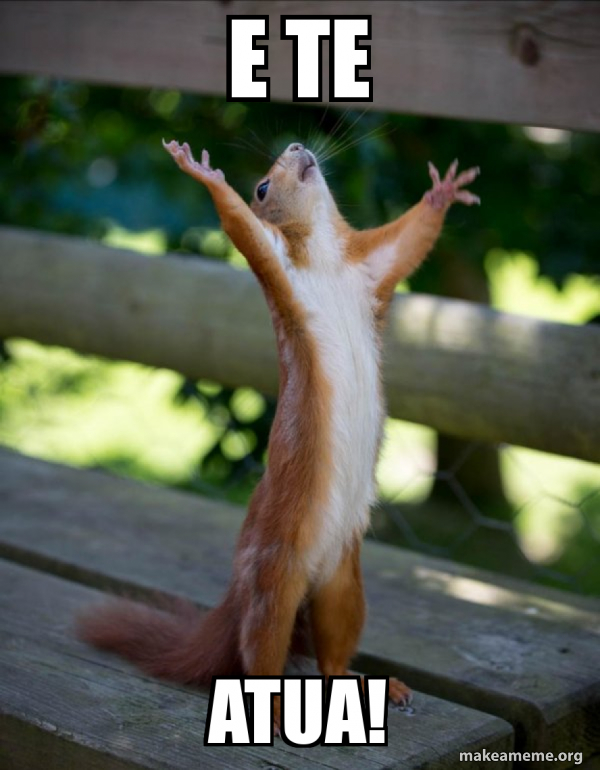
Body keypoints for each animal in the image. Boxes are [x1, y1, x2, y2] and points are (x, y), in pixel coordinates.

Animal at [77, 138, 480, 733]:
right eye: (262, 187)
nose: (296, 146)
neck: (327, 258)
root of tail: (239, 591)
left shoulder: (372, 267)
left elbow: (409, 240)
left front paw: (443, 192)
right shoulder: (277, 266)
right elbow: (241, 226)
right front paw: (204, 174)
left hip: (343, 584)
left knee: (333, 654)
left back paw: (372, 685)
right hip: (274, 580)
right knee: (260, 654)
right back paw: (270, 708)